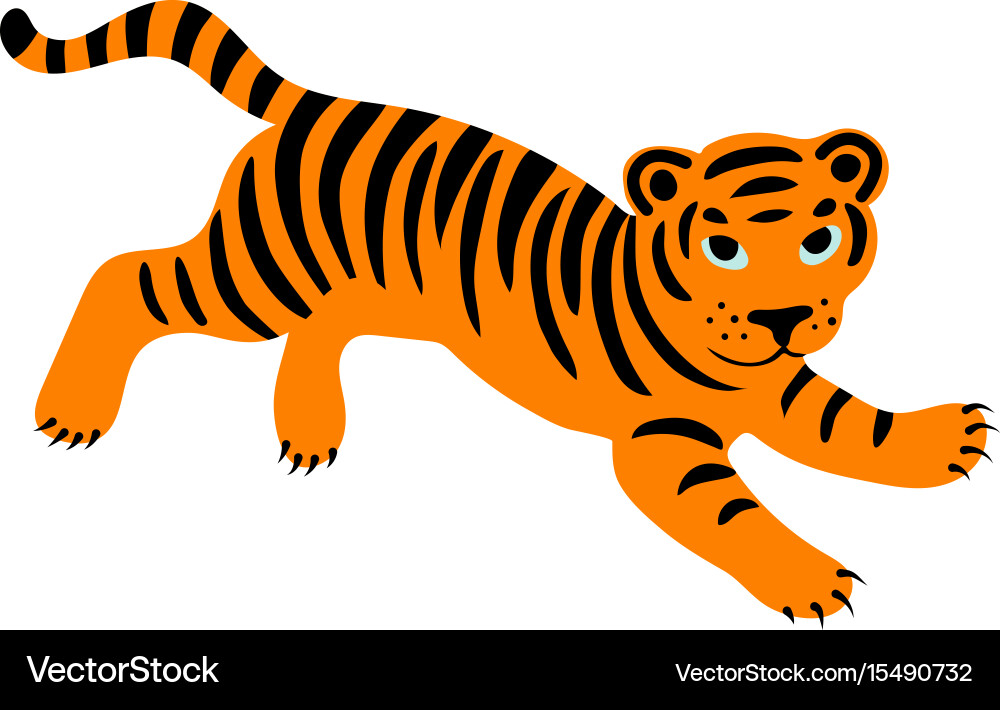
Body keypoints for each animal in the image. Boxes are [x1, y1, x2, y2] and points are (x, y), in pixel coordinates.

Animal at [3, 1, 993, 627]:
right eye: (724, 249)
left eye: (821, 239)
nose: (786, 316)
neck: (738, 352)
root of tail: (318, 102)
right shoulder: (661, 443)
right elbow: (735, 512)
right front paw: (811, 577)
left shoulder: (781, 384)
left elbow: (855, 427)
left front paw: (944, 438)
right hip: (255, 278)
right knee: (124, 274)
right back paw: (73, 410)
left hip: (367, 292)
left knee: (319, 332)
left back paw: (312, 425)